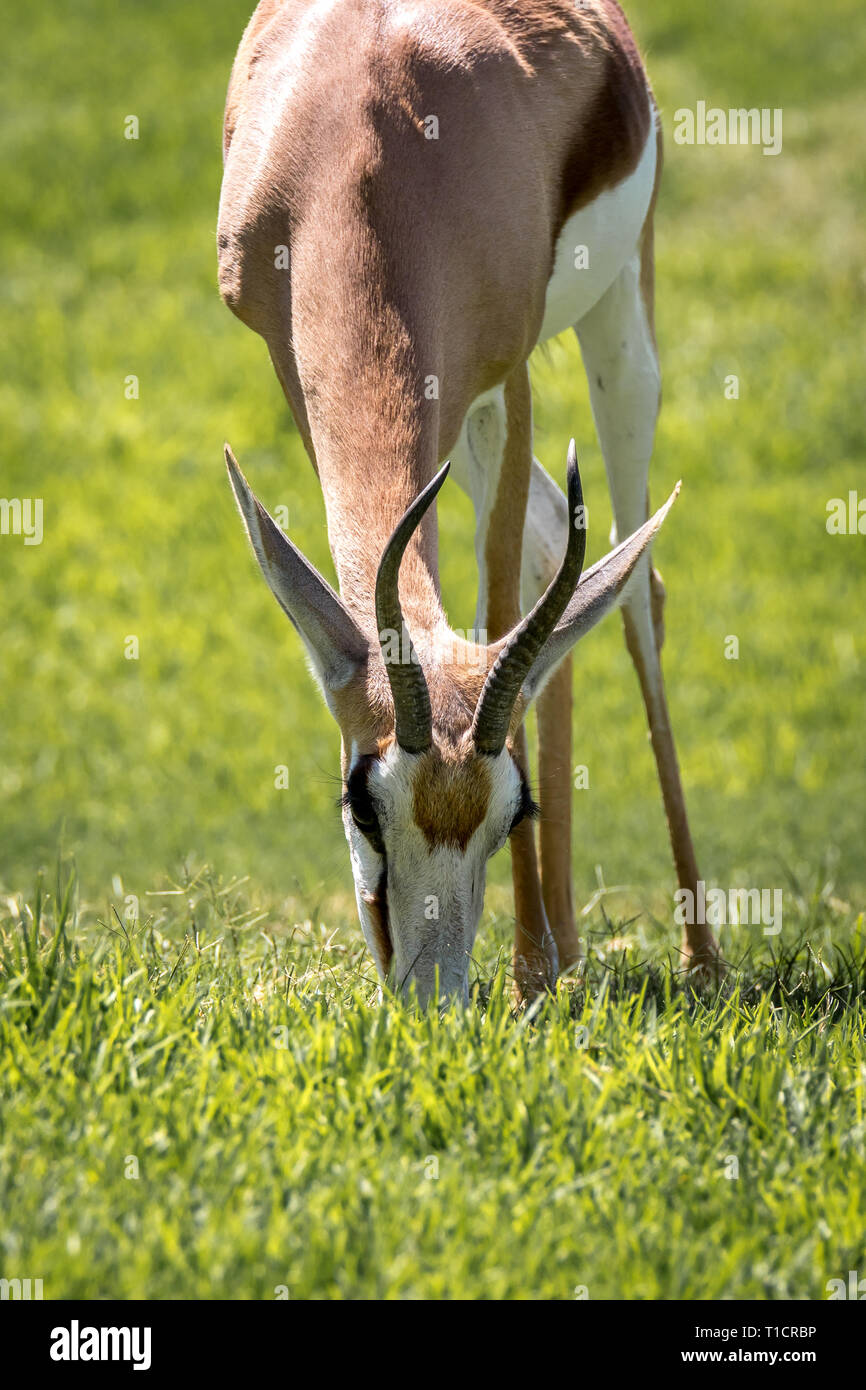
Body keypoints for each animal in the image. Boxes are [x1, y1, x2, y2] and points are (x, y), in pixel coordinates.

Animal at [217, 0, 719, 1006]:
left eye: (510, 812)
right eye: (362, 803)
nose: (430, 1002)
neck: (364, 149)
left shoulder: (508, 371)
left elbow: (500, 608)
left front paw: (527, 977)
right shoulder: (293, 369)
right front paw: (534, 965)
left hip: (619, 326)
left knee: (632, 587)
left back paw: (693, 959)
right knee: (553, 550)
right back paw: (571, 942)